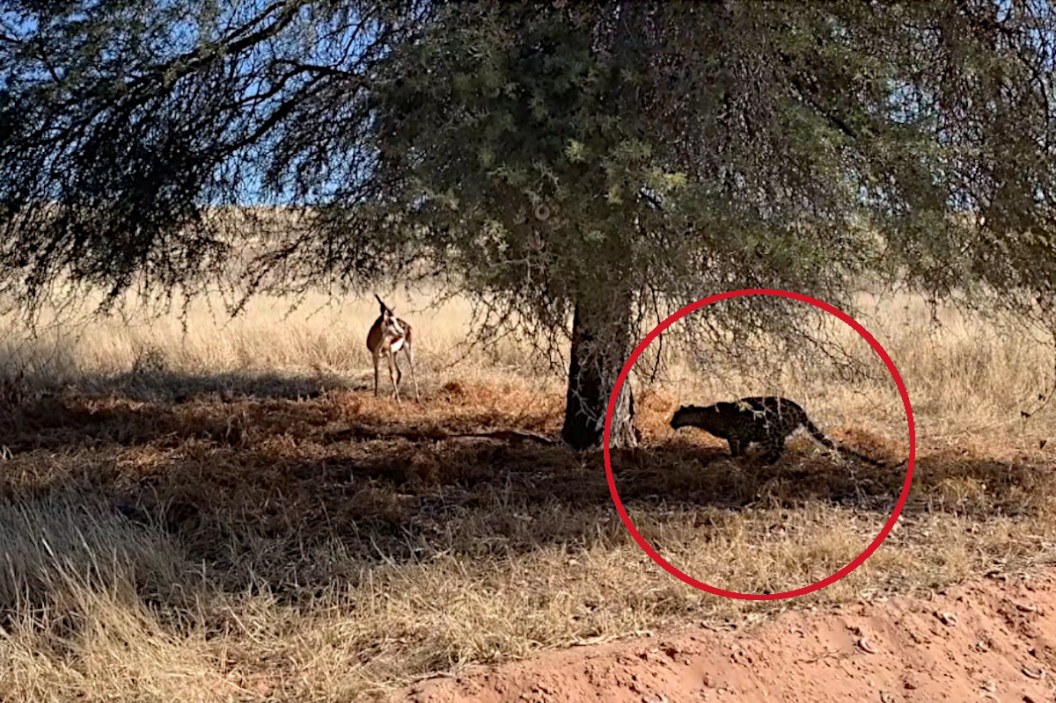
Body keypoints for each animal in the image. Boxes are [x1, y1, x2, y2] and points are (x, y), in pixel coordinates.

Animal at [670, 396, 884, 466]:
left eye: (676, 416)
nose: (671, 423)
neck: (704, 415)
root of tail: (799, 409)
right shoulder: (745, 436)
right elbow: (743, 449)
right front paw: (742, 458)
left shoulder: (734, 435)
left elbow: (735, 450)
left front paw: (734, 459)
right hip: (775, 433)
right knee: (779, 448)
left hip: (769, 431)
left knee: (777, 449)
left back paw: (765, 461)